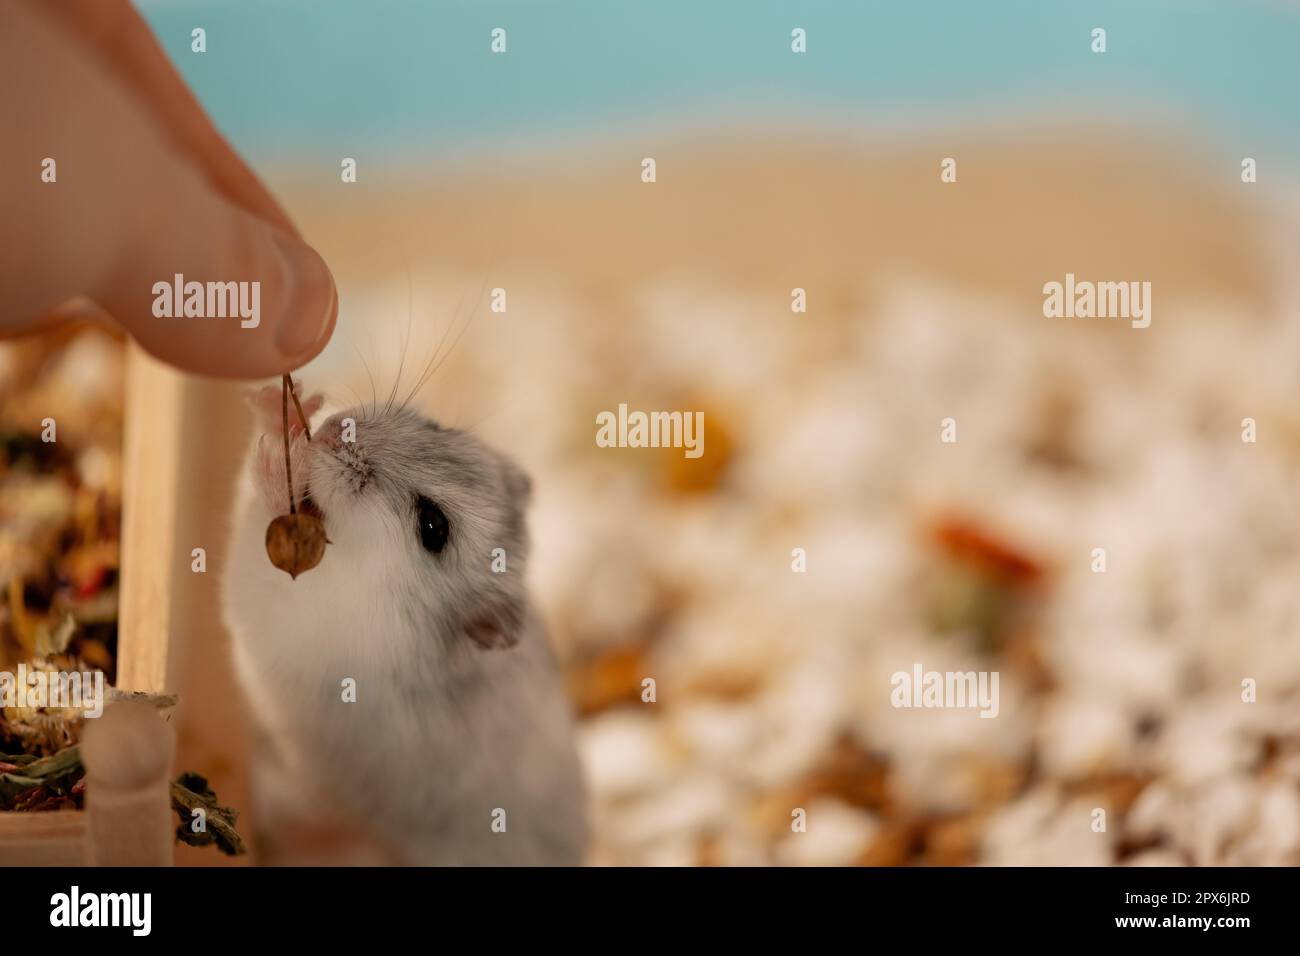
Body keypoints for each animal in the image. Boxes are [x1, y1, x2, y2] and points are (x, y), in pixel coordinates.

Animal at [221, 382, 587, 865]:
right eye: (437, 425)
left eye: (432, 527)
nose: (334, 432)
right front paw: (292, 404)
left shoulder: (298, 605)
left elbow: (265, 519)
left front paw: (289, 456)